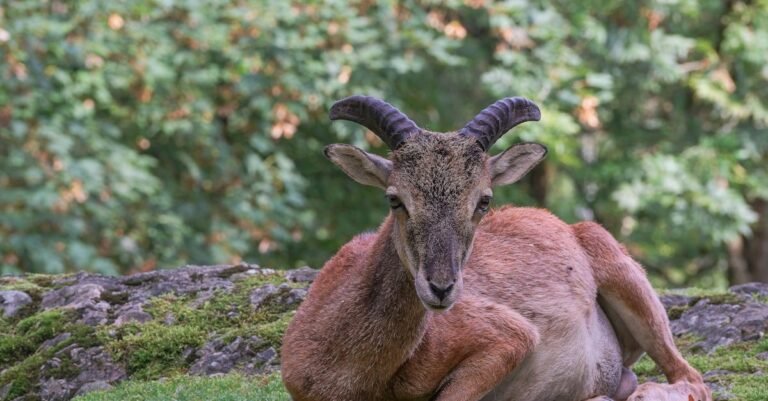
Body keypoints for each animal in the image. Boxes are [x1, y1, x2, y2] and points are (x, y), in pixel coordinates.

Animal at [281, 96, 711, 401]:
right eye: (394, 199)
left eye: (483, 200)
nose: (441, 287)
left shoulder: (506, 337)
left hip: (630, 286)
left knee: (691, 379)